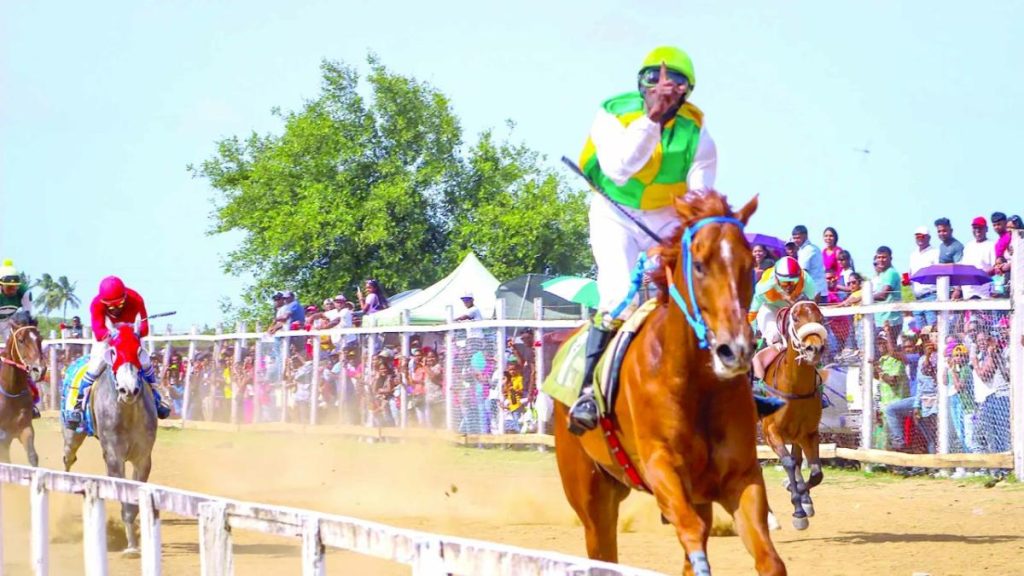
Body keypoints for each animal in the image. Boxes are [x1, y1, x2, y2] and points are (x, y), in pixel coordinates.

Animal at [63, 323, 157, 557]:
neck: (128, 413)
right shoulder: (115, 457)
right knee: (68, 459)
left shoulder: (143, 459)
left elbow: (133, 501)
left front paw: (133, 542)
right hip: (71, 435)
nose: (128, 390)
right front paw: (131, 545)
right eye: (113, 352)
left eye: (138, 351)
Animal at [553, 192, 786, 576]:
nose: (736, 349)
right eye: (700, 265)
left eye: (747, 265)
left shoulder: (740, 477)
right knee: (602, 549)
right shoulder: (661, 468)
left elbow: (769, 559)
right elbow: (691, 531)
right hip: (591, 495)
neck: (693, 382)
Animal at [758, 300, 827, 530]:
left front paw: (802, 498)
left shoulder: (809, 432)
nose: (814, 348)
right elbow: (788, 462)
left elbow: (815, 472)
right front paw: (798, 511)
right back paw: (769, 517)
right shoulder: (770, 431)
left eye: (821, 318)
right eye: (795, 318)